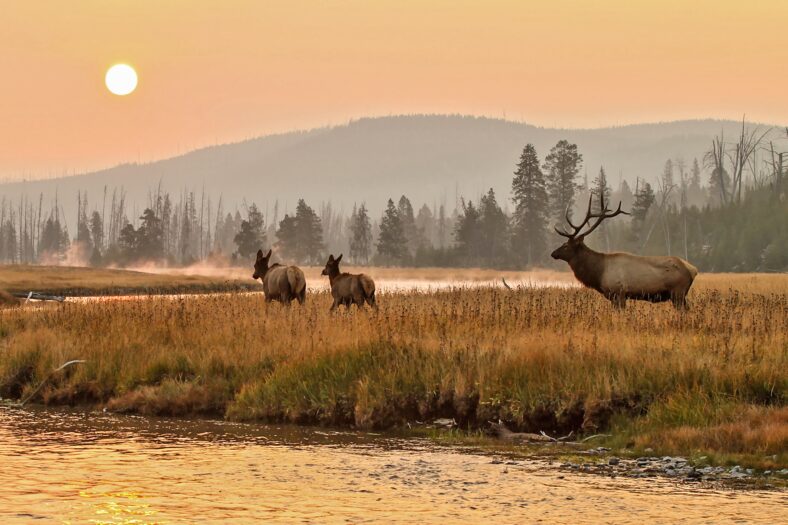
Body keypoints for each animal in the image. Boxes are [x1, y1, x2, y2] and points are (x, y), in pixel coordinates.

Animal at [551, 194, 698, 309]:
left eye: (566, 245)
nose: (553, 253)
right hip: (681, 295)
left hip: (677, 292)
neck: (599, 273)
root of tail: (693, 270)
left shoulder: (619, 293)